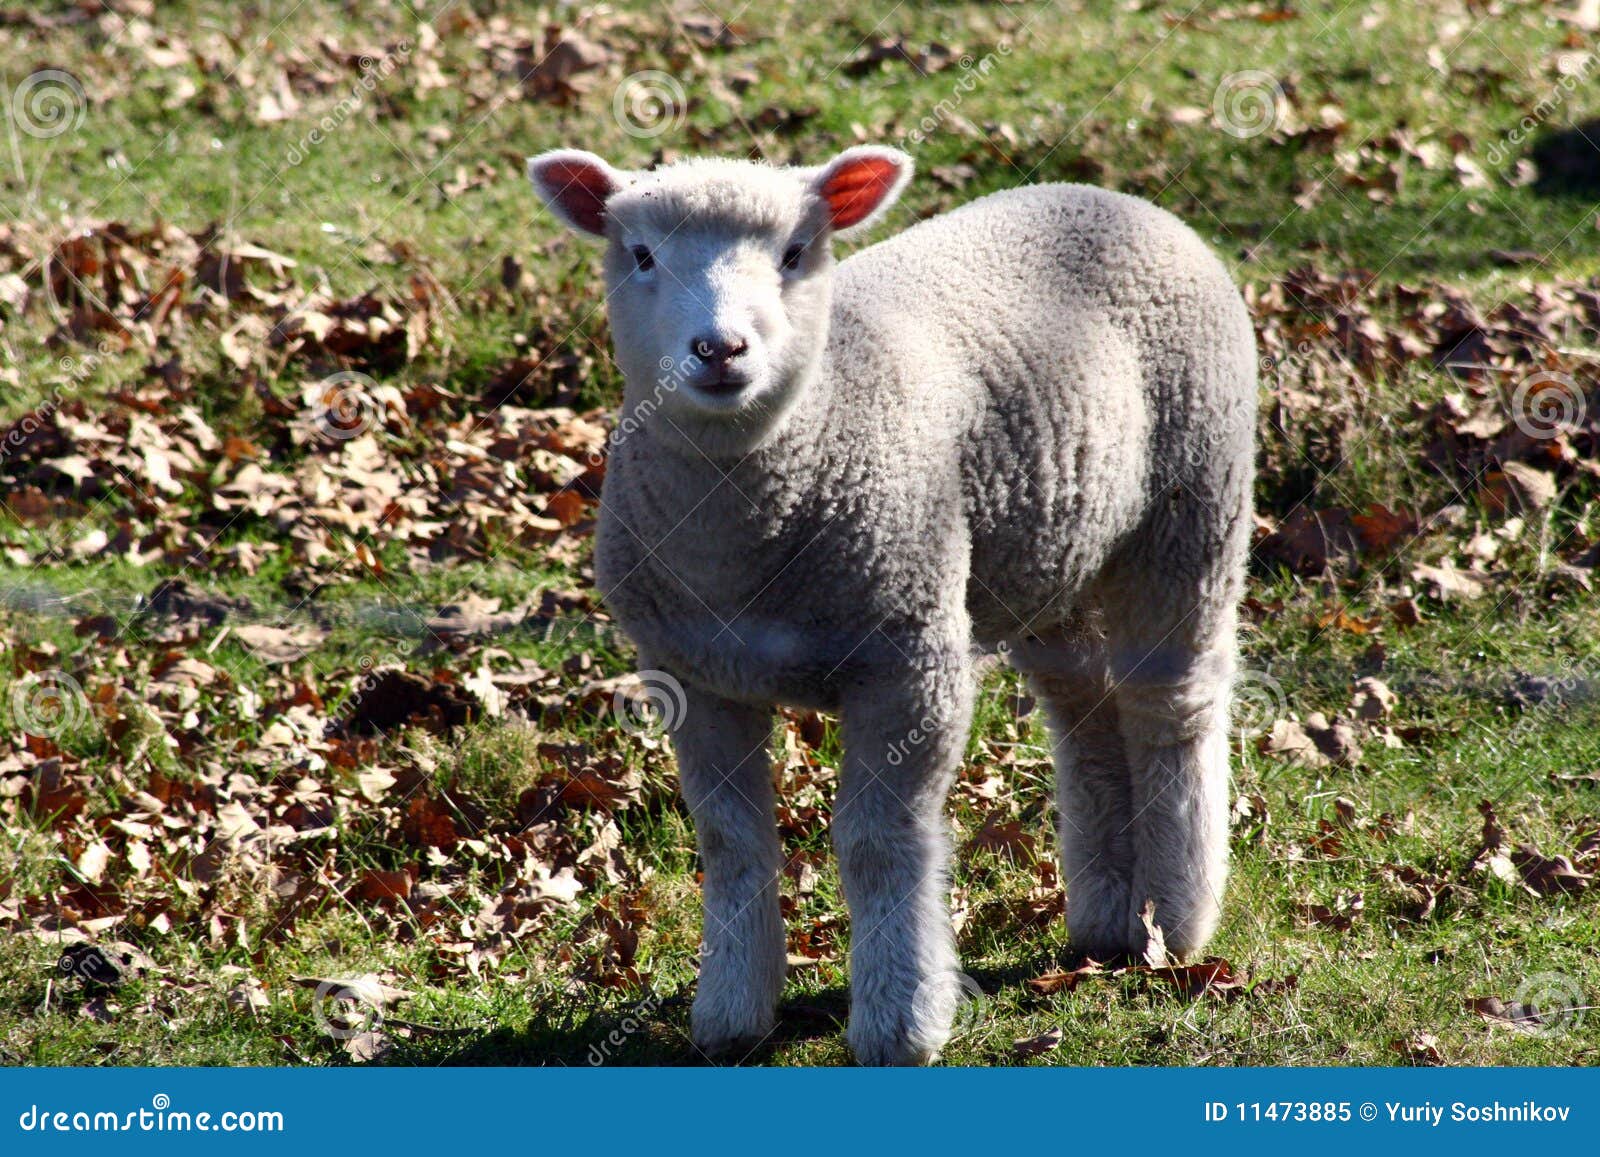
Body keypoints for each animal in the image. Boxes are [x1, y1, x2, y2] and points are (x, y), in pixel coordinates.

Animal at [527, 145, 1257, 1066]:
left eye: (795, 252)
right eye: (642, 255)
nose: (720, 348)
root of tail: (1114, 198)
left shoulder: (908, 655)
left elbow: (880, 840)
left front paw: (899, 1022)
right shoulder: (692, 672)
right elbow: (731, 841)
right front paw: (731, 1012)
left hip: (1193, 500)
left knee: (1172, 708)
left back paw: (1176, 915)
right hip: (1049, 547)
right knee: (1089, 714)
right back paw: (1112, 917)